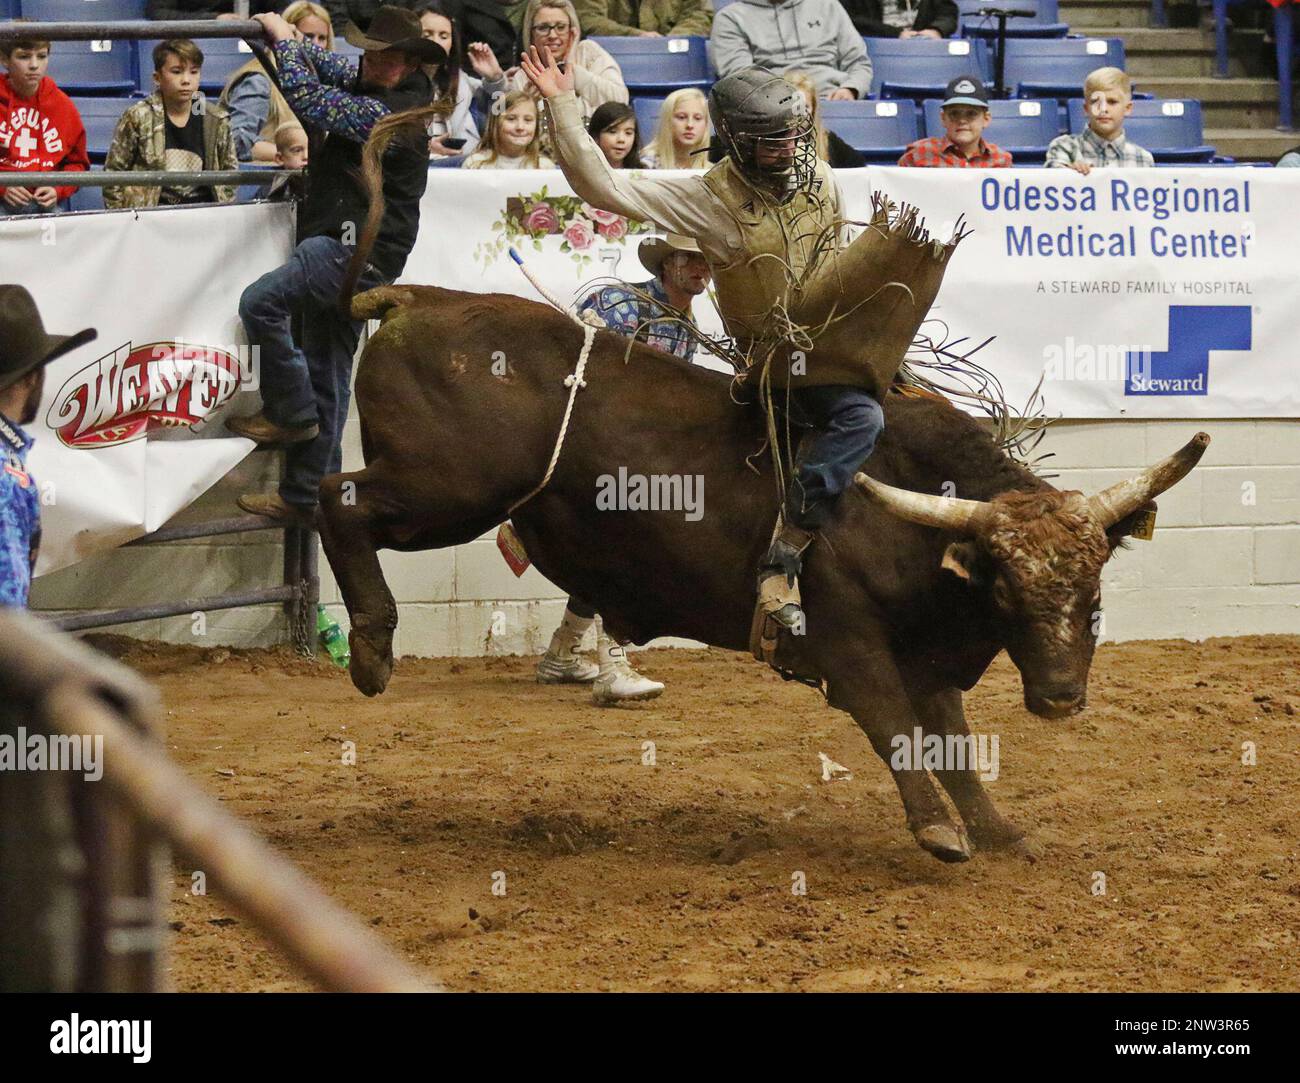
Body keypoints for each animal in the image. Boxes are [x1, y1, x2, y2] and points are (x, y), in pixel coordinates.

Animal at [317, 283, 1207, 864]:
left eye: (1092, 589)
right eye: (1003, 585)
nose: (1058, 696)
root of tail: (420, 296)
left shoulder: (928, 657)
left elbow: (953, 745)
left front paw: (999, 831)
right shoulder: (849, 645)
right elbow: (894, 729)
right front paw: (939, 832)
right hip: (446, 491)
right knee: (337, 498)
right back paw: (371, 648)